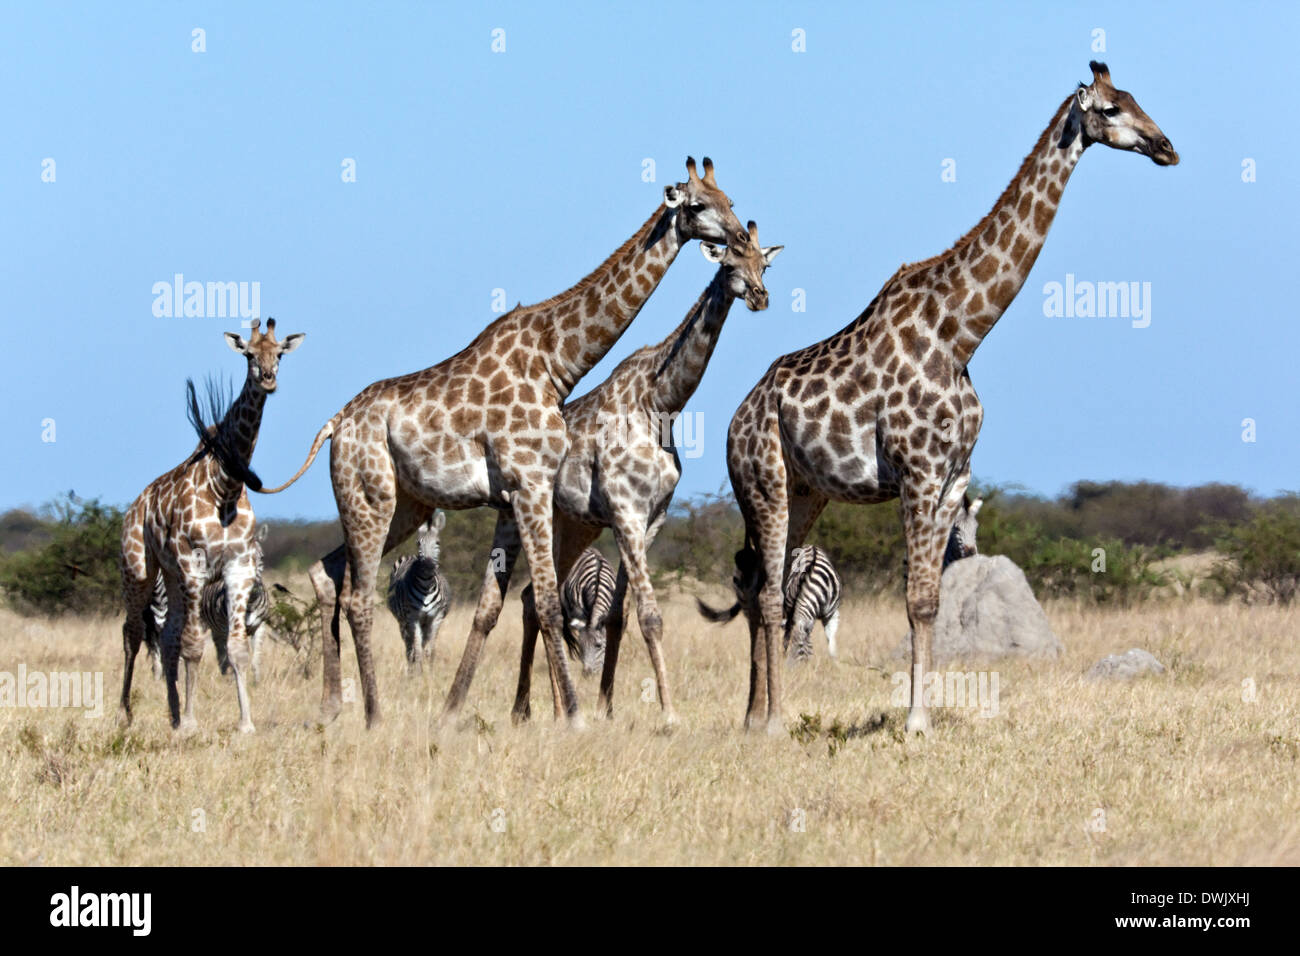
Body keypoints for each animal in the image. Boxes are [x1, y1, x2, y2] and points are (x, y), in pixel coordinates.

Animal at [119, 319, 304, 732]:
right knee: (133, 633)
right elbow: (193, 645)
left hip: (170, 577)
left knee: (167, 635)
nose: (268, 379)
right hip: (139, 569)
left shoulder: (239, 568)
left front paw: (245, 724)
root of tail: (135, 505)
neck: (226, 486)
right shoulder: (194, 566)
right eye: (248, 355)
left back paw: (172, 713)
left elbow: (234, 648)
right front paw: (191, 723)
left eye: (279, 354)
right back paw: (126, 714)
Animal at [254, 158, 748, 729]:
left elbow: (496, 607)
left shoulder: (515, 496)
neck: (558, 361)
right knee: (358, 595)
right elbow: (549, 603)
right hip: (368, 496)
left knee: (325, 571)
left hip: (403, 502)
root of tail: (334, 424)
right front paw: (573, 717)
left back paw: (332, 706)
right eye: (698, 205)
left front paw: (458, 714)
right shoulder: (530, 485)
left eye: (731, 200)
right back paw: (373, 714)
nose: (739, 237)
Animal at [505, 221, 781, 725]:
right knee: (534, 598)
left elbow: (621, 616)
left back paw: (548, 709)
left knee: (533, 599)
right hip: (537, 517)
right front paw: (669, 715)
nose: (759, 296)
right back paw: (532, 709)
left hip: (575, 525)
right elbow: (651, 616)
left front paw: (605, 710)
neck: (661, 403)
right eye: (730, 263)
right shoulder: (626, 514)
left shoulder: (650, 519)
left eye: (764, 265)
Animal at [721, 61, 1177, 735]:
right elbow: (914, 599)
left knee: (759, 587)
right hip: (764, 485)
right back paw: (774, 721)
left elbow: (933, 601)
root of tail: (734, 419)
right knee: (771, 594)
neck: (961, 332)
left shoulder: (953, 478)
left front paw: (927, 716)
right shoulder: (916, 471)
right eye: (1112, 108)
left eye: (1137, 97)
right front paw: (914, 722)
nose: (1167, 147)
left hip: (806, 494)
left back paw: (754, 718)